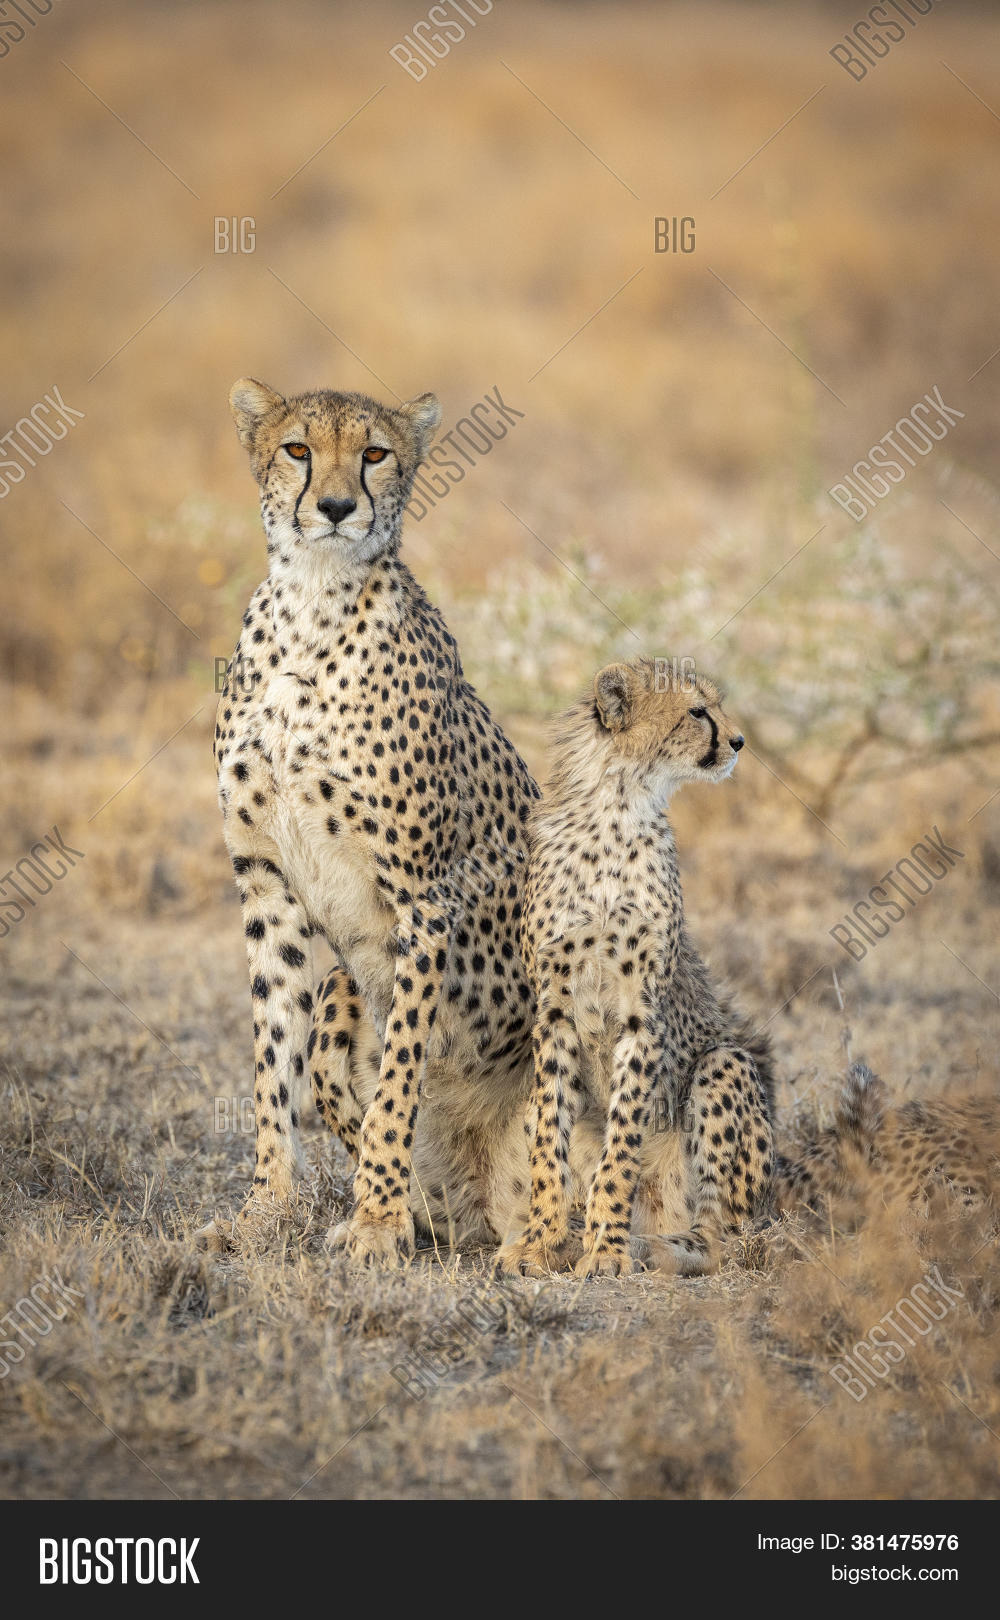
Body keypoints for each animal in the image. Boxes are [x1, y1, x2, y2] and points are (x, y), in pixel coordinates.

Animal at [201, 378, 542, 1265]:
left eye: (376, 453)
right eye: (297, 449)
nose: (335, 505)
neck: (312, 604)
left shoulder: (421, 898)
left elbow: (397, 1079)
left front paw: (377, 1223)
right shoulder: (267, 885)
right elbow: (271, 1064)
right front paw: (265, 1213)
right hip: (338, 992)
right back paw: (425, 1216)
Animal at [495, 656, 776, 1279]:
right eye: (697, 711)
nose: (739, 741)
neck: (616, 810)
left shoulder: (640, 1013)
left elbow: (621, 1143)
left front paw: (606, 1251)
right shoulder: (554, 1012)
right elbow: (550, 1143)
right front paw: (540, 1244)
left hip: (723, 1066)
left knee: (725, 1233)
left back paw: (658, 1245)